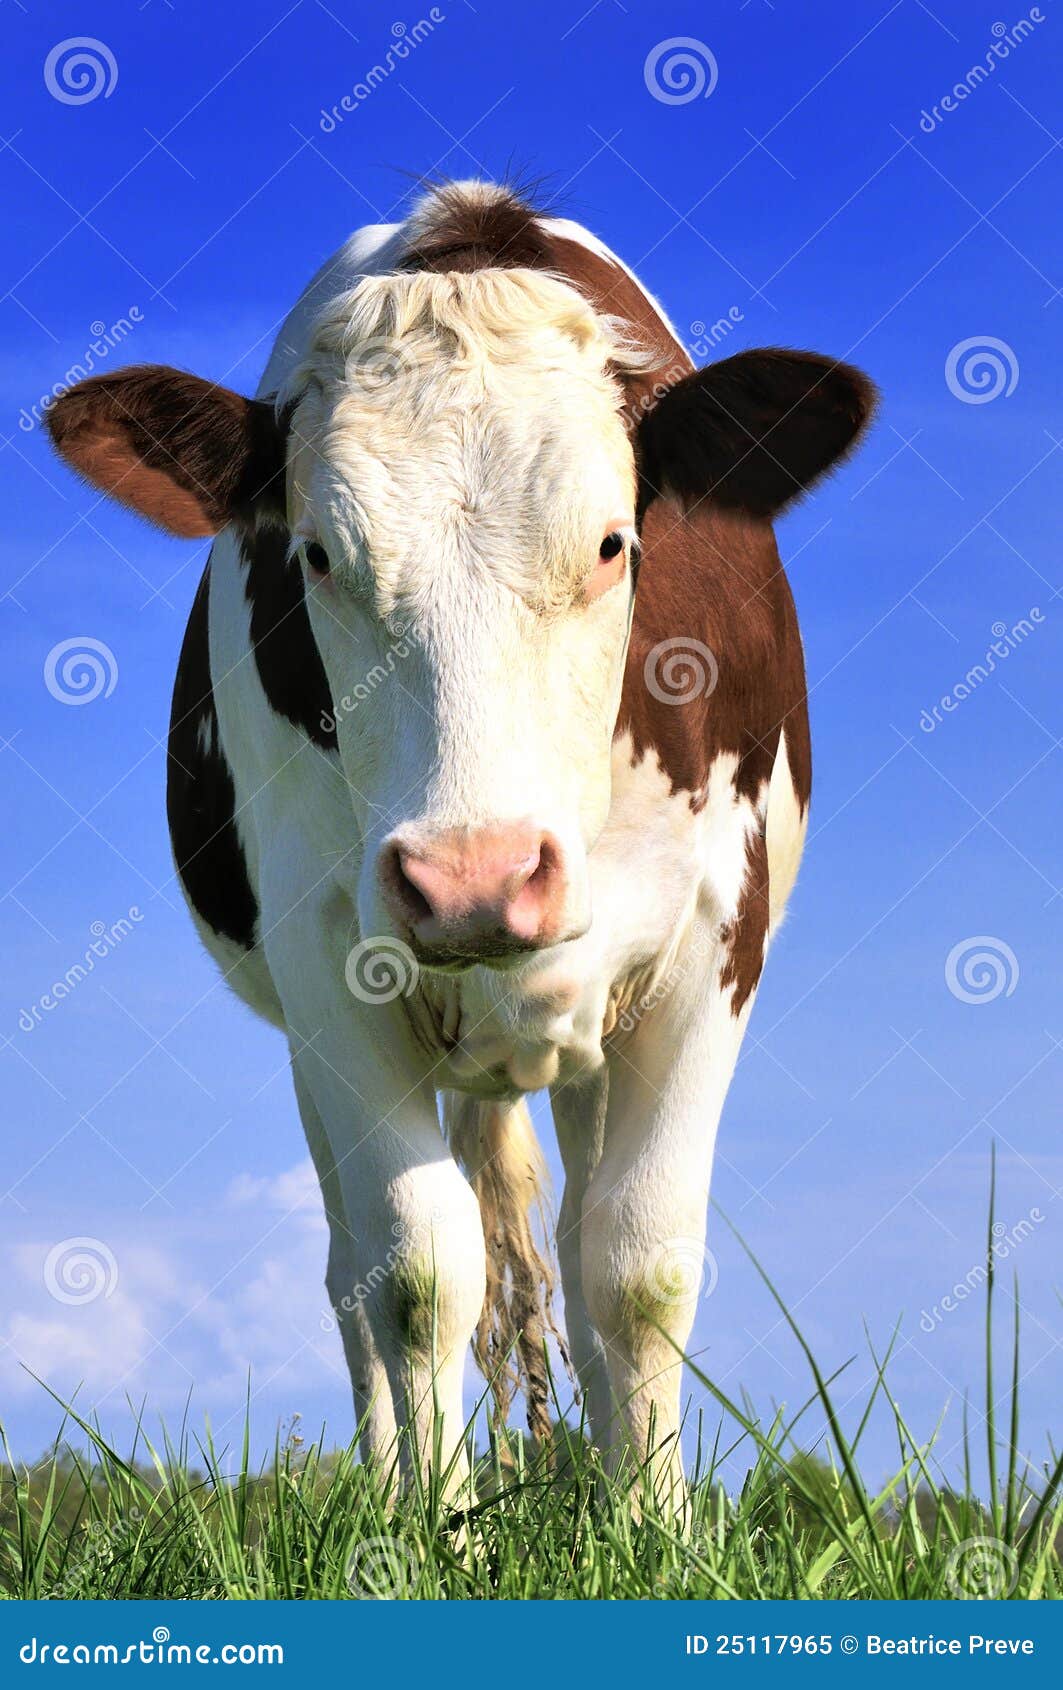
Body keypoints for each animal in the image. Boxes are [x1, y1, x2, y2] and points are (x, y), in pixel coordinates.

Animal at [46, 180, 874, 1504]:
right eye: (317, 555)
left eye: (612, 543)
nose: (471, 880)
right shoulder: (327, 957)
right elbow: (417, 1275)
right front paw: (436, 1530)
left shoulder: (714, 940)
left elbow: (639, 1269)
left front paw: (649, 1527)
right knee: (356, 1275)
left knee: (578, 1250)